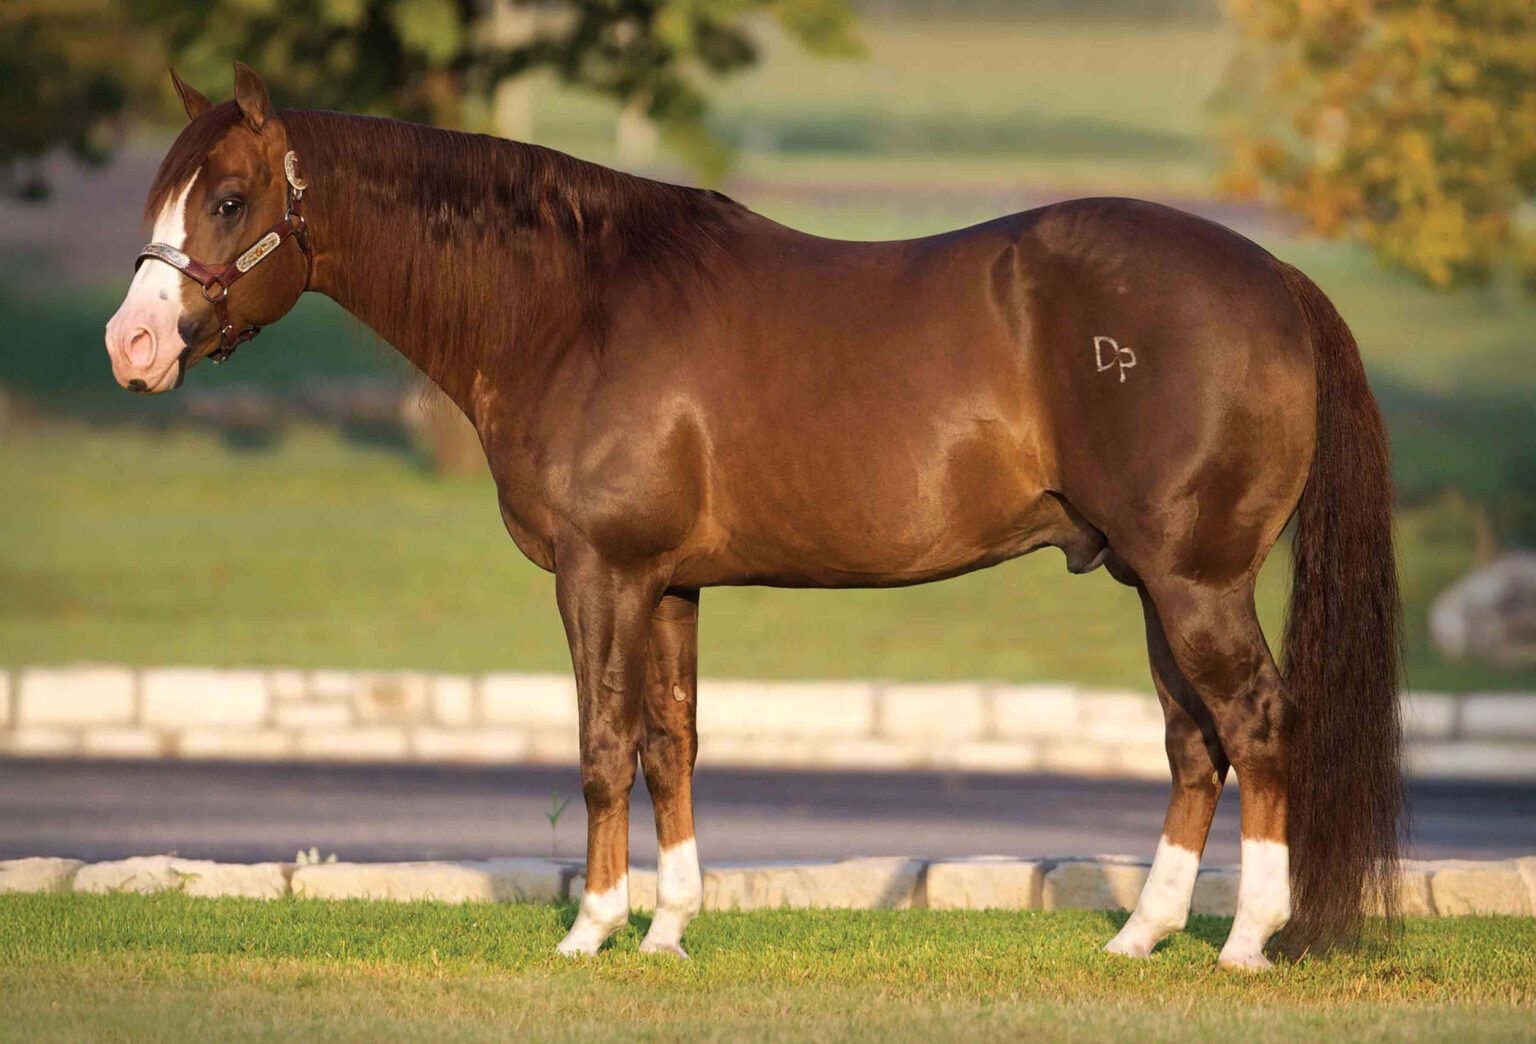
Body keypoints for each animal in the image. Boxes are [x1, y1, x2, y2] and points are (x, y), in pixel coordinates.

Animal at [105, 64, 1403, 969]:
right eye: (162, 197)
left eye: (230, 199)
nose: (133, 346)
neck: (572, 305)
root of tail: (1273, 280)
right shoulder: (670, 582)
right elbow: (671, 745)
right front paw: (671, 930)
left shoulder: (599, 573)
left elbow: (601, 748)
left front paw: (590, 931)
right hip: (1153, 579)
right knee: (1196, 743)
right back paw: (1139, 937)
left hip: (1197, 581)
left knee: (1260, 724)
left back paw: (1248, 942)